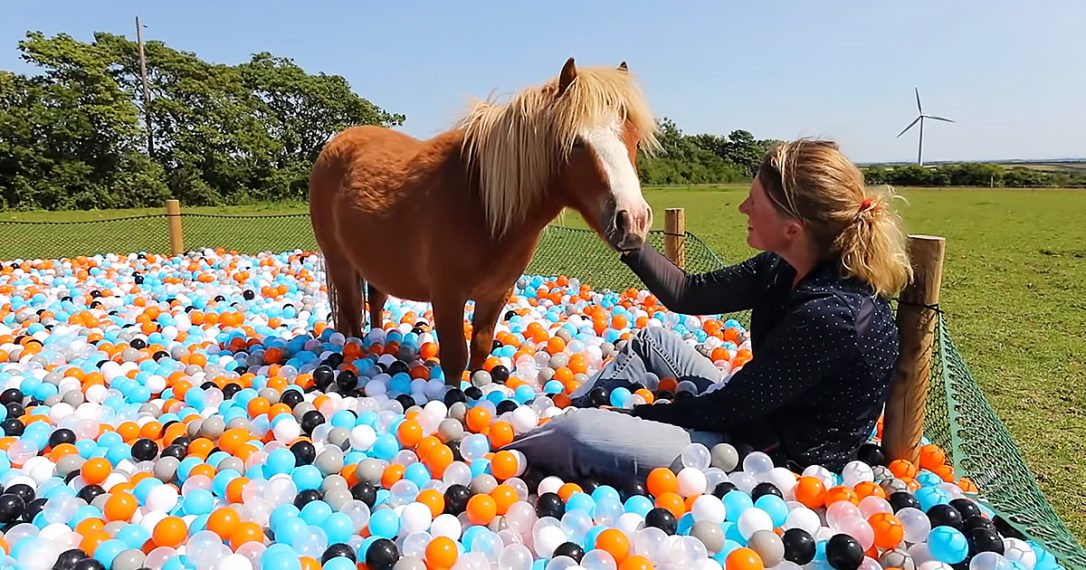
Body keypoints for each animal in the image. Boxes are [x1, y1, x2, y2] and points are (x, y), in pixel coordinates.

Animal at [308, 57, 659, 386]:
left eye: (635, 141)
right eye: (575, 143)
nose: (633, 220)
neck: (482, 204)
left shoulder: (495, 295)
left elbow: (480, 348)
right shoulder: (447, 296)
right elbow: (454, 357)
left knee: (376, 303)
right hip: (340, 262)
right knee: (352, 316)